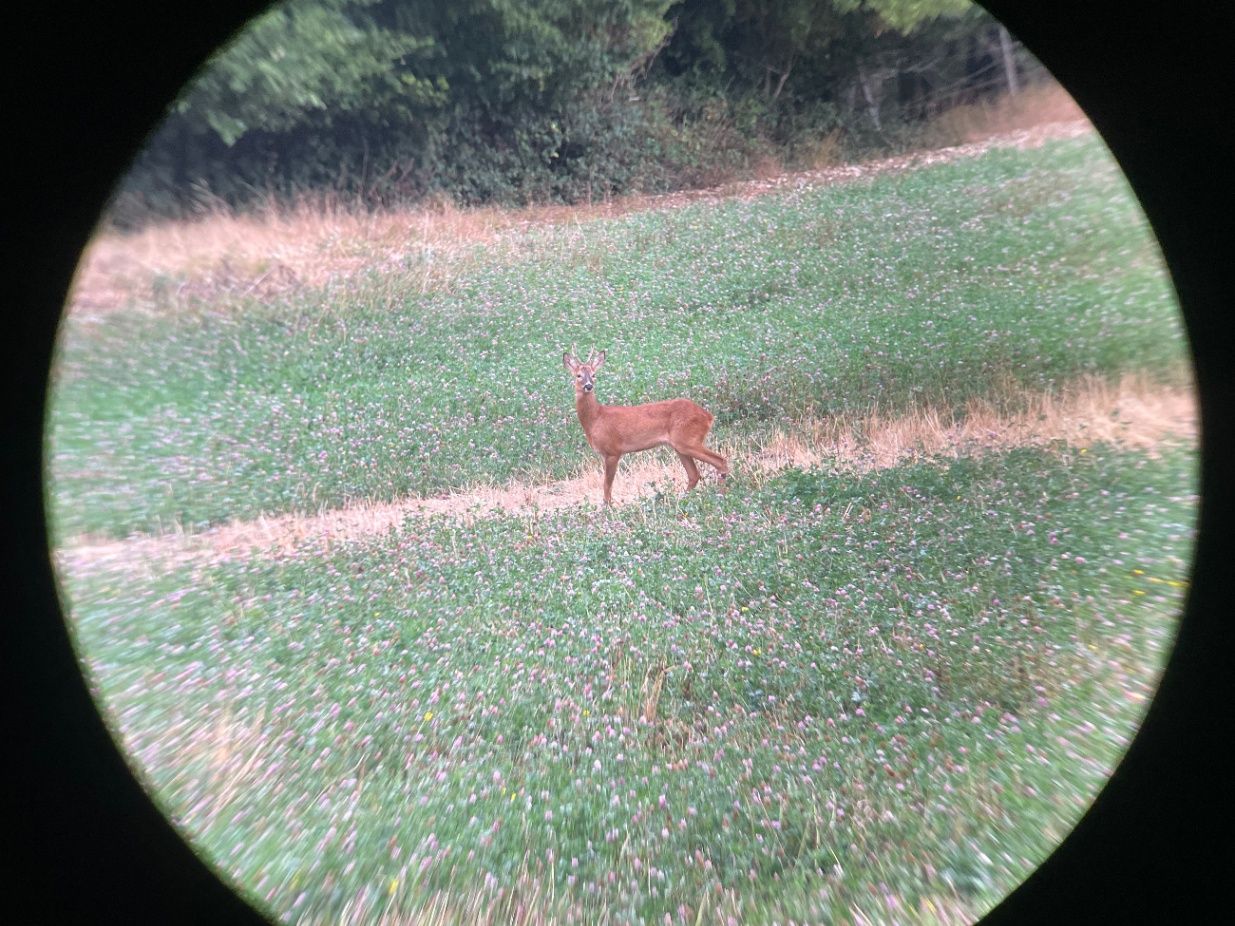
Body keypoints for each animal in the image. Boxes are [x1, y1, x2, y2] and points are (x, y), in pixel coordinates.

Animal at [563, 348, 729, 506]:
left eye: (594, 374)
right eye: (578, 375)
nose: (588, 386)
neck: (596, 419)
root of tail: (708, 416)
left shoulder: (613, 451)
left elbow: (607, 485)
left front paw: (608, 507)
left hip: (688, 440)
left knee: (720, 461)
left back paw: (721, 495)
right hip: (680, 446)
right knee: (694, 474)